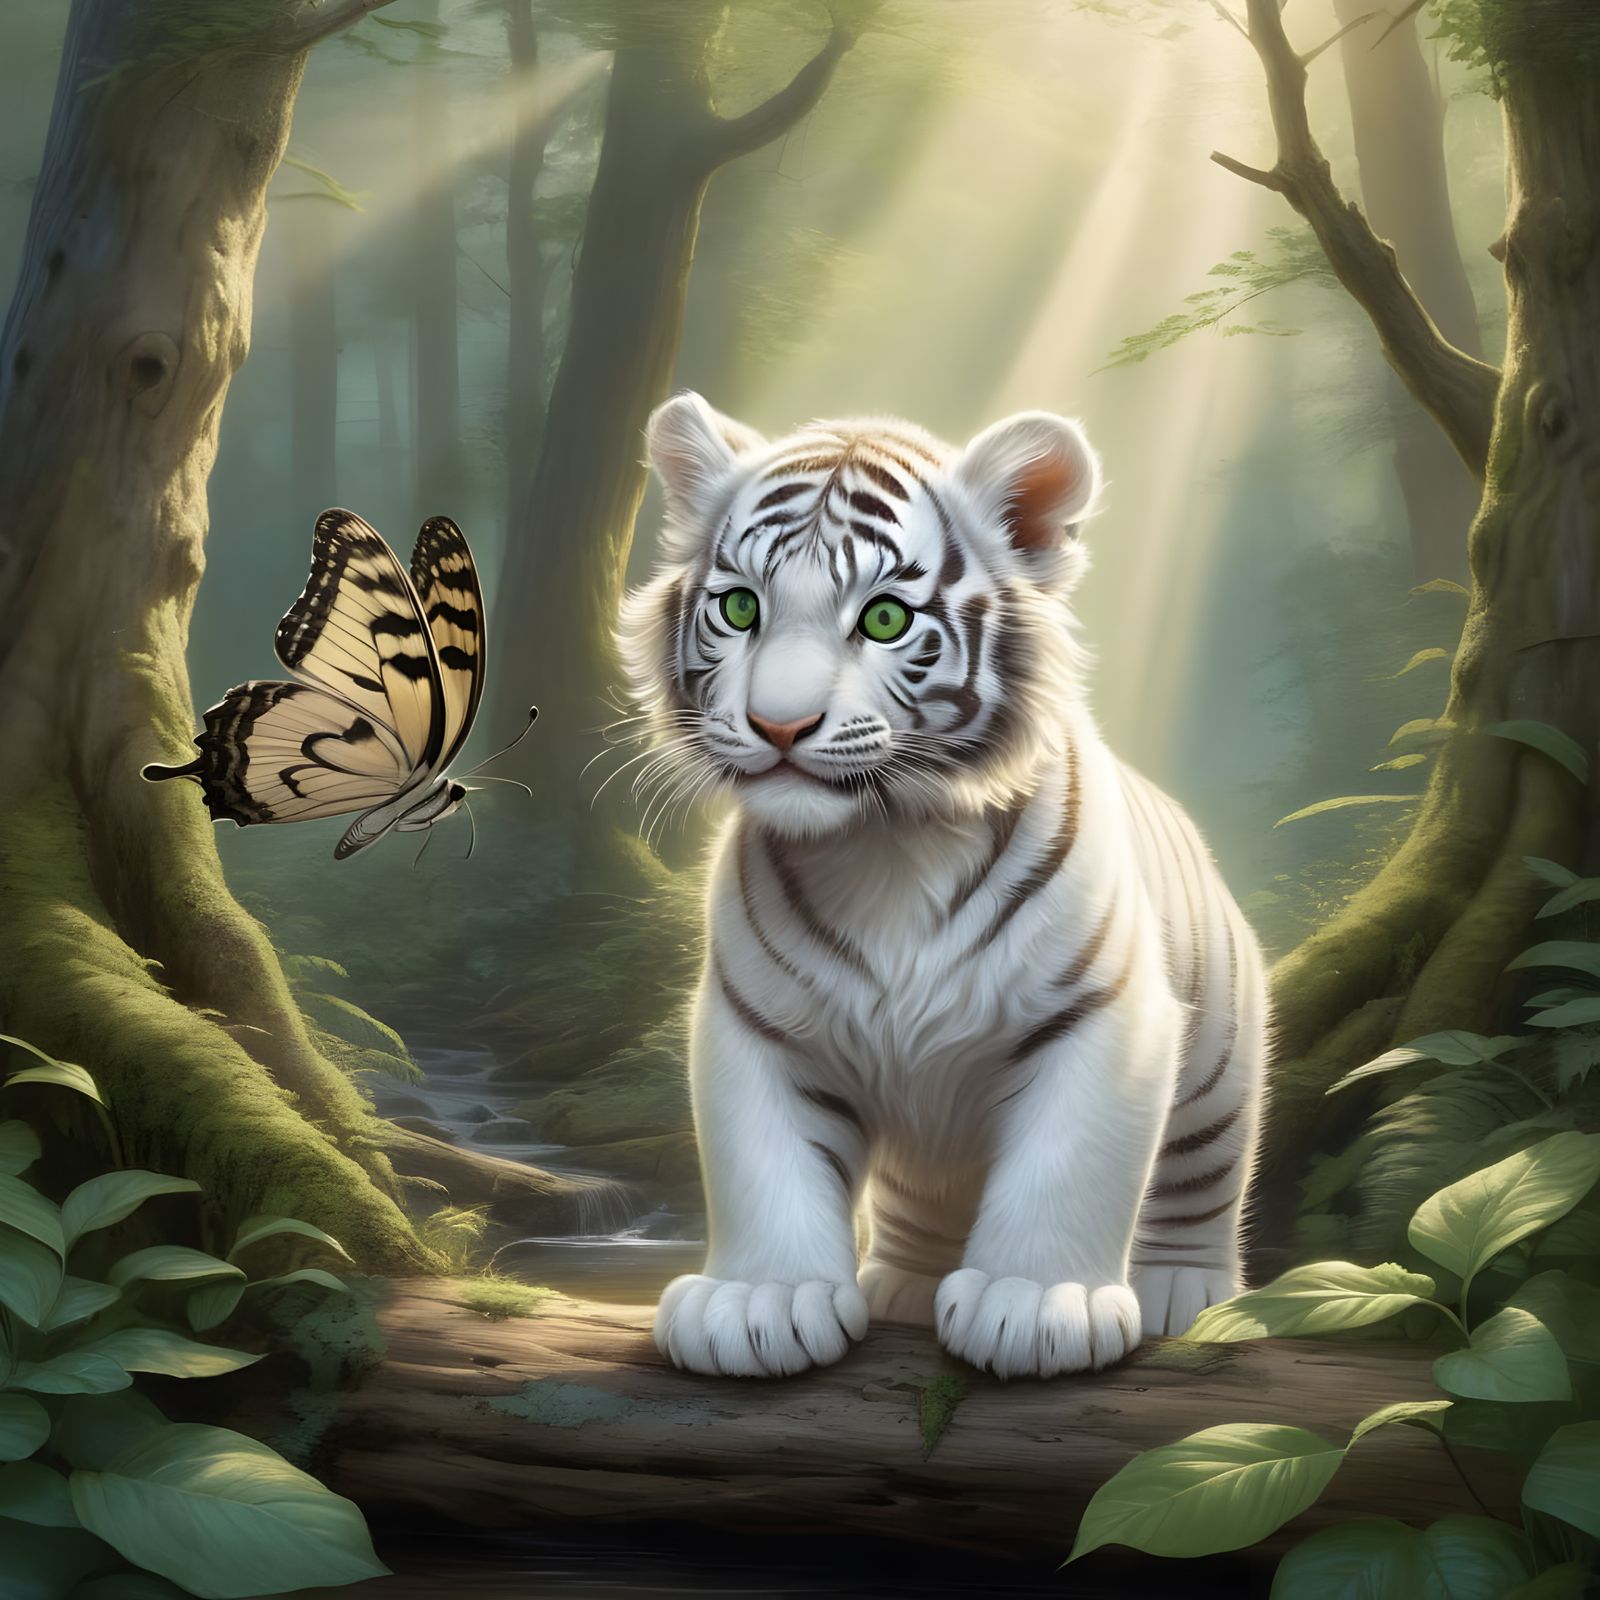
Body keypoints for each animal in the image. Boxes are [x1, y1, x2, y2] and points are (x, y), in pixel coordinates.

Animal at [617, 392, 1268, 1380]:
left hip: (1219, 1064)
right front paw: (760, 1304)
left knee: (1202, 1174)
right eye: (738, 608)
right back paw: (904, 1285)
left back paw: (1181, 1290)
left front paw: (1035, 1306)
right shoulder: (757, 1022)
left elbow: (1069, 1161)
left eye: (884, 620)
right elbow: (764, 1163)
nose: (778, 724)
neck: (885, 842)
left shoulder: (1105, 1013)